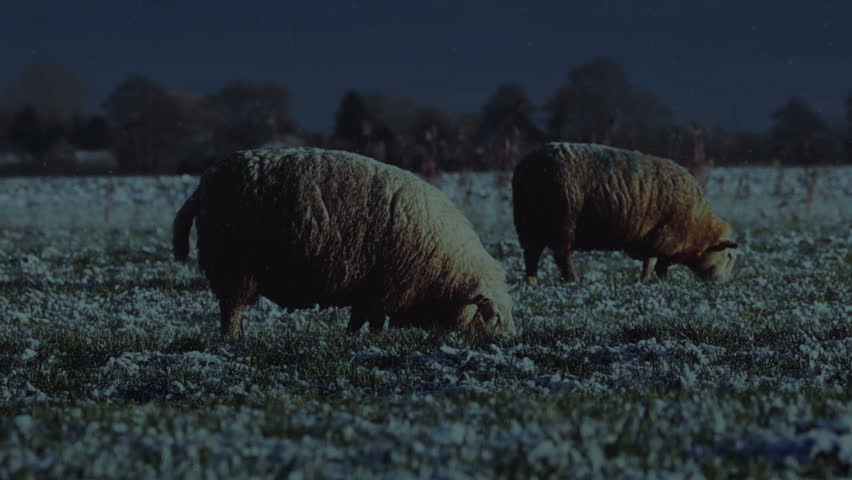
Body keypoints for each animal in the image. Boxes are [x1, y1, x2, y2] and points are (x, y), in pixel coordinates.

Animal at [173, 146, 514, 341]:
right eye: (494, 317)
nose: (508, 342)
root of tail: (202, 187)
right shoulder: (384, 286)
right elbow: (371, 319)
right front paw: (365, 338)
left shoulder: (371, 287)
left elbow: (361, 317)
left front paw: (353, 336)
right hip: (233, 264)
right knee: (231, 308)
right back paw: (232, 339)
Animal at [512, 142, 738, 284]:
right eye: (729, 256)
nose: (723, 284)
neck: (698, 225)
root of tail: (526, 166)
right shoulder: (663, 236)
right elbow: (653, 263)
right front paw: (648, 281)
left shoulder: (657, 241)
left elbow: (658, 265)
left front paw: (660, 281)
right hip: (563, 221)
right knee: (561, 255)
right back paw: (572, 280)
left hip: (530, 223)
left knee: (531, 254)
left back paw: (531, 281)